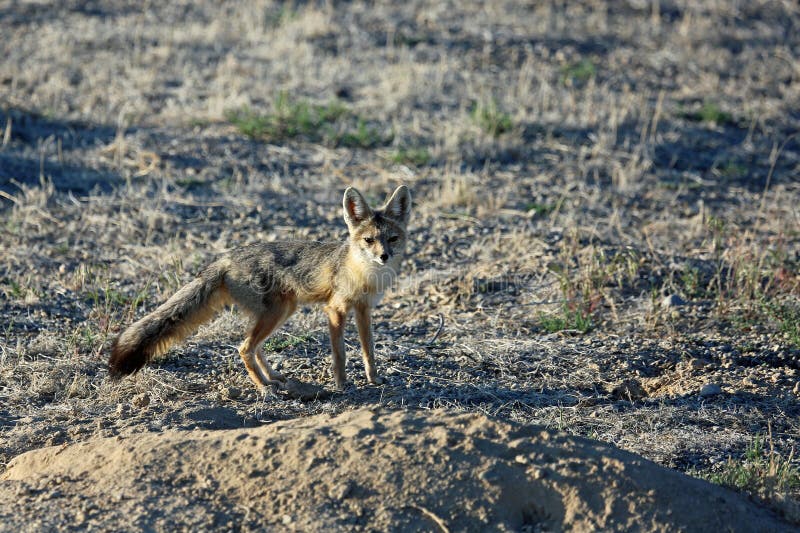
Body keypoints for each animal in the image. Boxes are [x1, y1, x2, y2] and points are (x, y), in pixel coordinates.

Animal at [108, 185, 411, 391]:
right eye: (369, 240)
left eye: (392, 239)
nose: (384, 256)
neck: (365, 274)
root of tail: (226, 258)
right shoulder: (335, 309)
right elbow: (340, 353)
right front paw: (340, 383)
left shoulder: (363, 309)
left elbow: (368, 349)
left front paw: (374, 378)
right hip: (277, 312)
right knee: (245, 348)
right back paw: (263, 387)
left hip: (280, 312)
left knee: (255, 347)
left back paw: (272, 377)